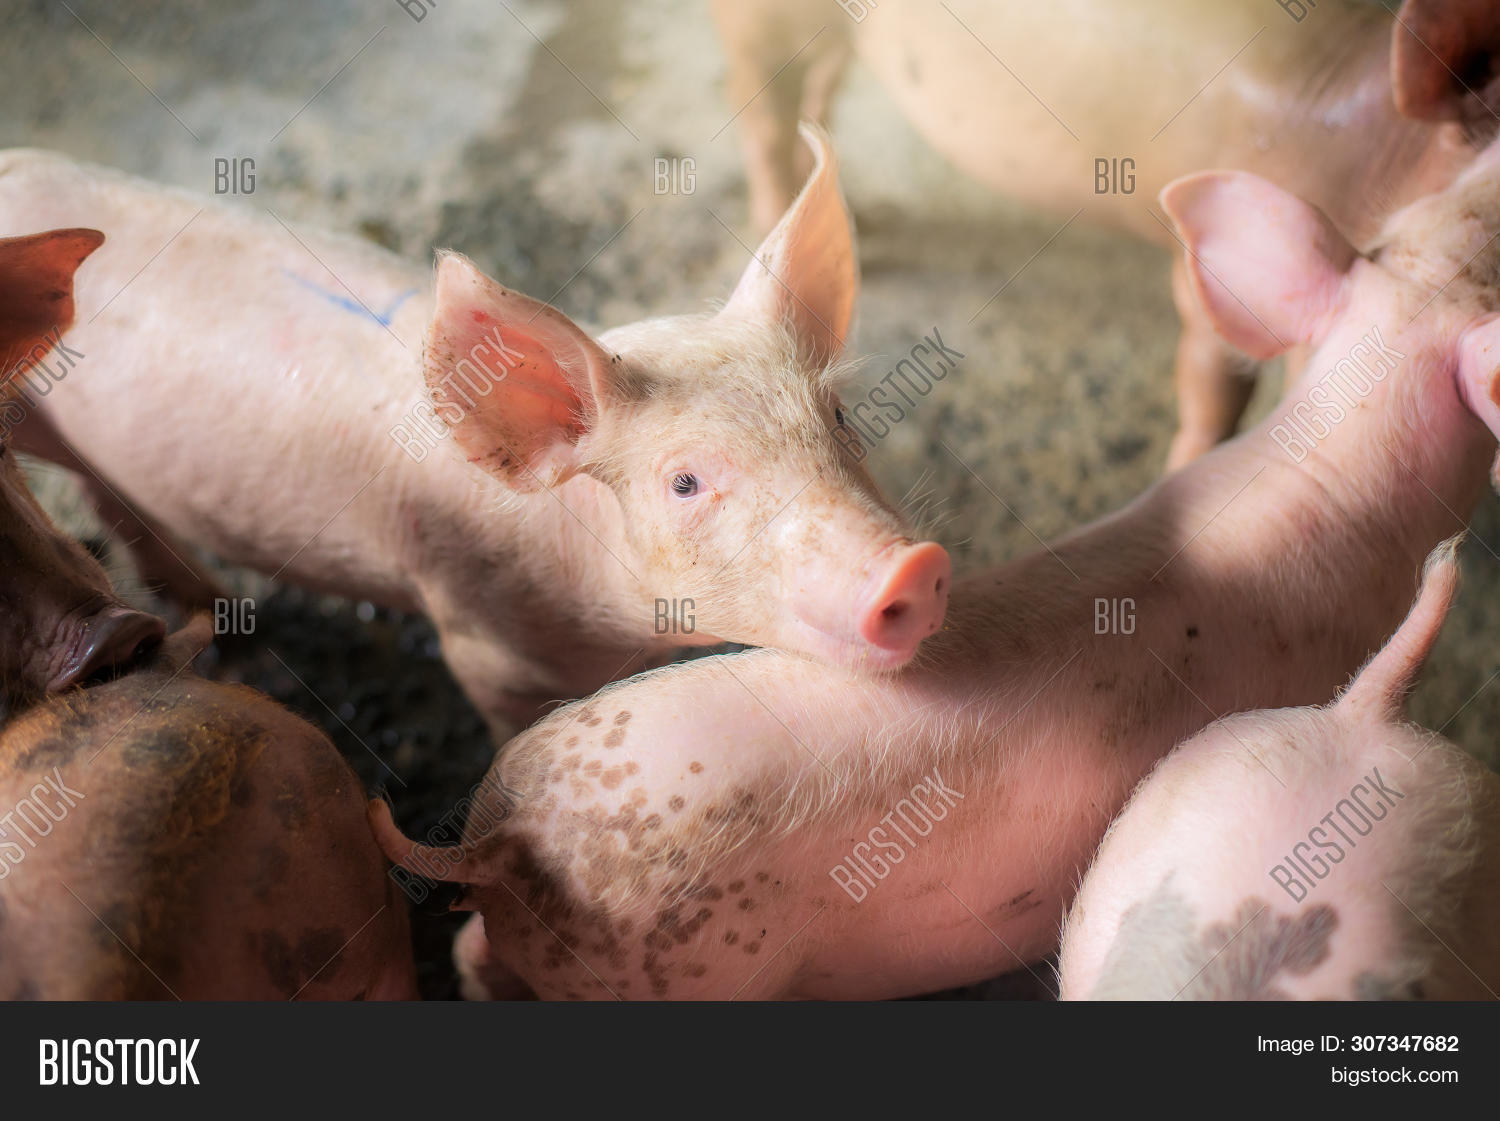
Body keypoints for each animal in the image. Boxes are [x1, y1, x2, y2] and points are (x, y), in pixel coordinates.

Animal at [713, 0, 1499, 468]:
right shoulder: (1205, 271)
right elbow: (1215, 382)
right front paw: (1192, 465)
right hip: (760, 19)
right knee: (762, 110)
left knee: (820, 86)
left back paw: (864, 215)